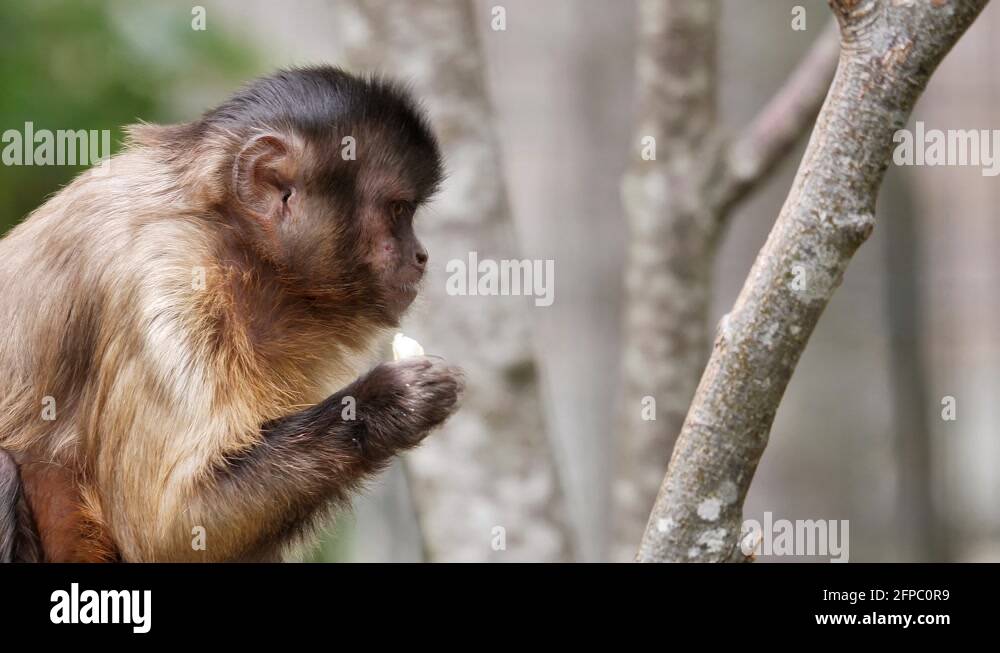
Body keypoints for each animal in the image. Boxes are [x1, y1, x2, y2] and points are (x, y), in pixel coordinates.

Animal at [0, 66, 464, 562]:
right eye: (398, 211)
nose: (421, 255)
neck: (230, 233)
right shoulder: (165, 270)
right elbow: (168, 530)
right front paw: (389, 401)